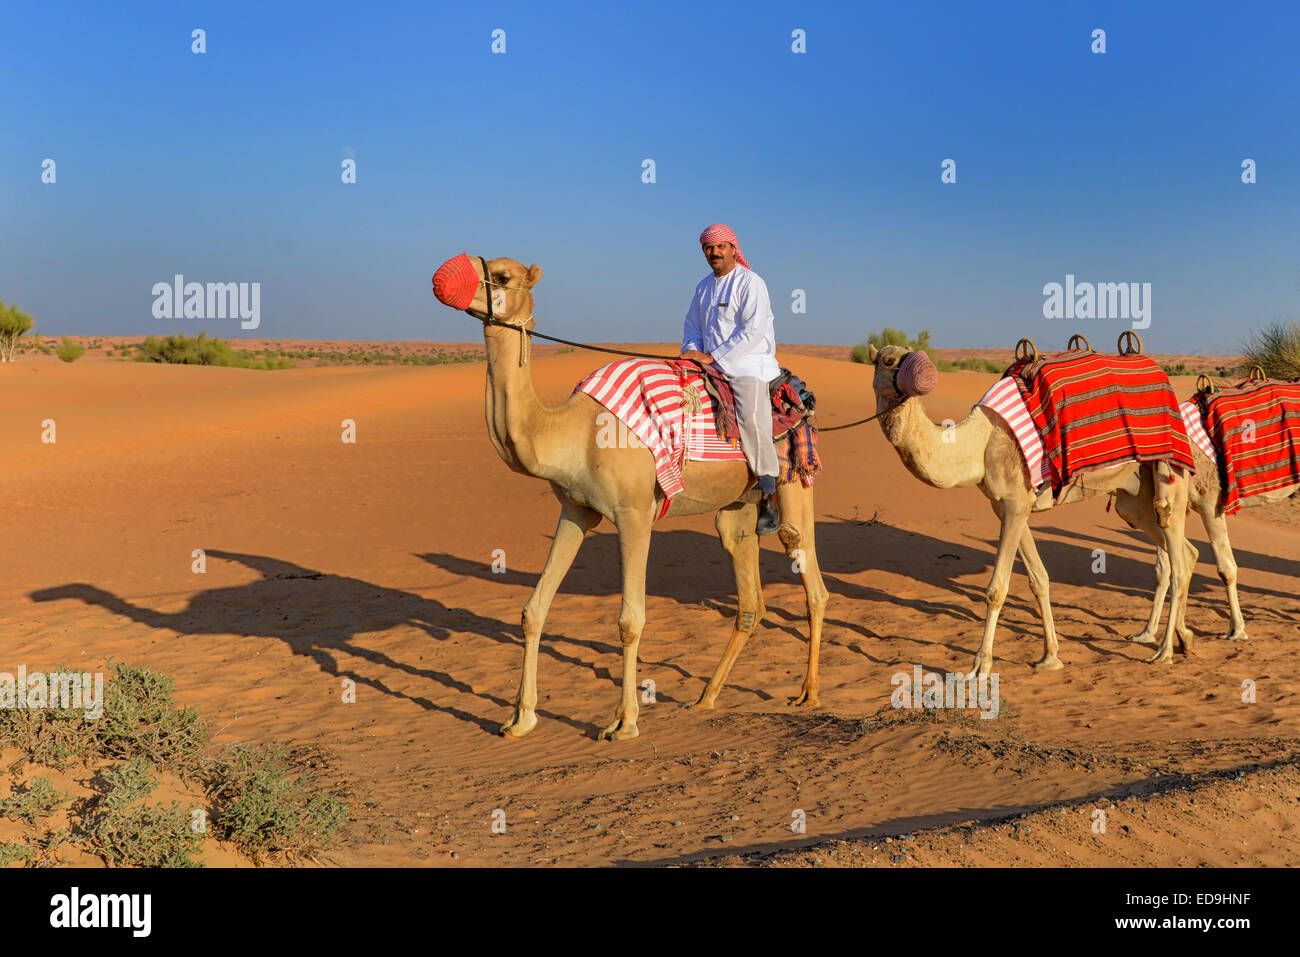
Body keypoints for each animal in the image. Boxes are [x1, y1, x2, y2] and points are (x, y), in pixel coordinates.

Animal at [432, 254, 829, 740]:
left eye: (503, 276)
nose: (444, 276)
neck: (574, 432)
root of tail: (800, 397)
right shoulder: (576, 510)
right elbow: (533, 610)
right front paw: (520, 718)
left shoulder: (634, 514)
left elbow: (629, 621)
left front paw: (623, 722)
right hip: (738, 507)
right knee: (749, 595)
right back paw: (705, 698)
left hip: (795, 482)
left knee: (809, 574)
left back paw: (808, 693)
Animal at [866, 344, 1193, 676]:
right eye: (888, 360)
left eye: (899, 357)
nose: (923, 371)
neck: (980, 444)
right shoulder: (1009, 507)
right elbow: (1039, 579)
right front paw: (1050, 656)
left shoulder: (1014, 504)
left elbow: (996, 589)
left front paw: (980, 665)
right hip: (1134, 499)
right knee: (1182, 552)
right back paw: (1182, 638)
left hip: (1171, 474)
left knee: (1177, 553)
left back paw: (1164, 651)